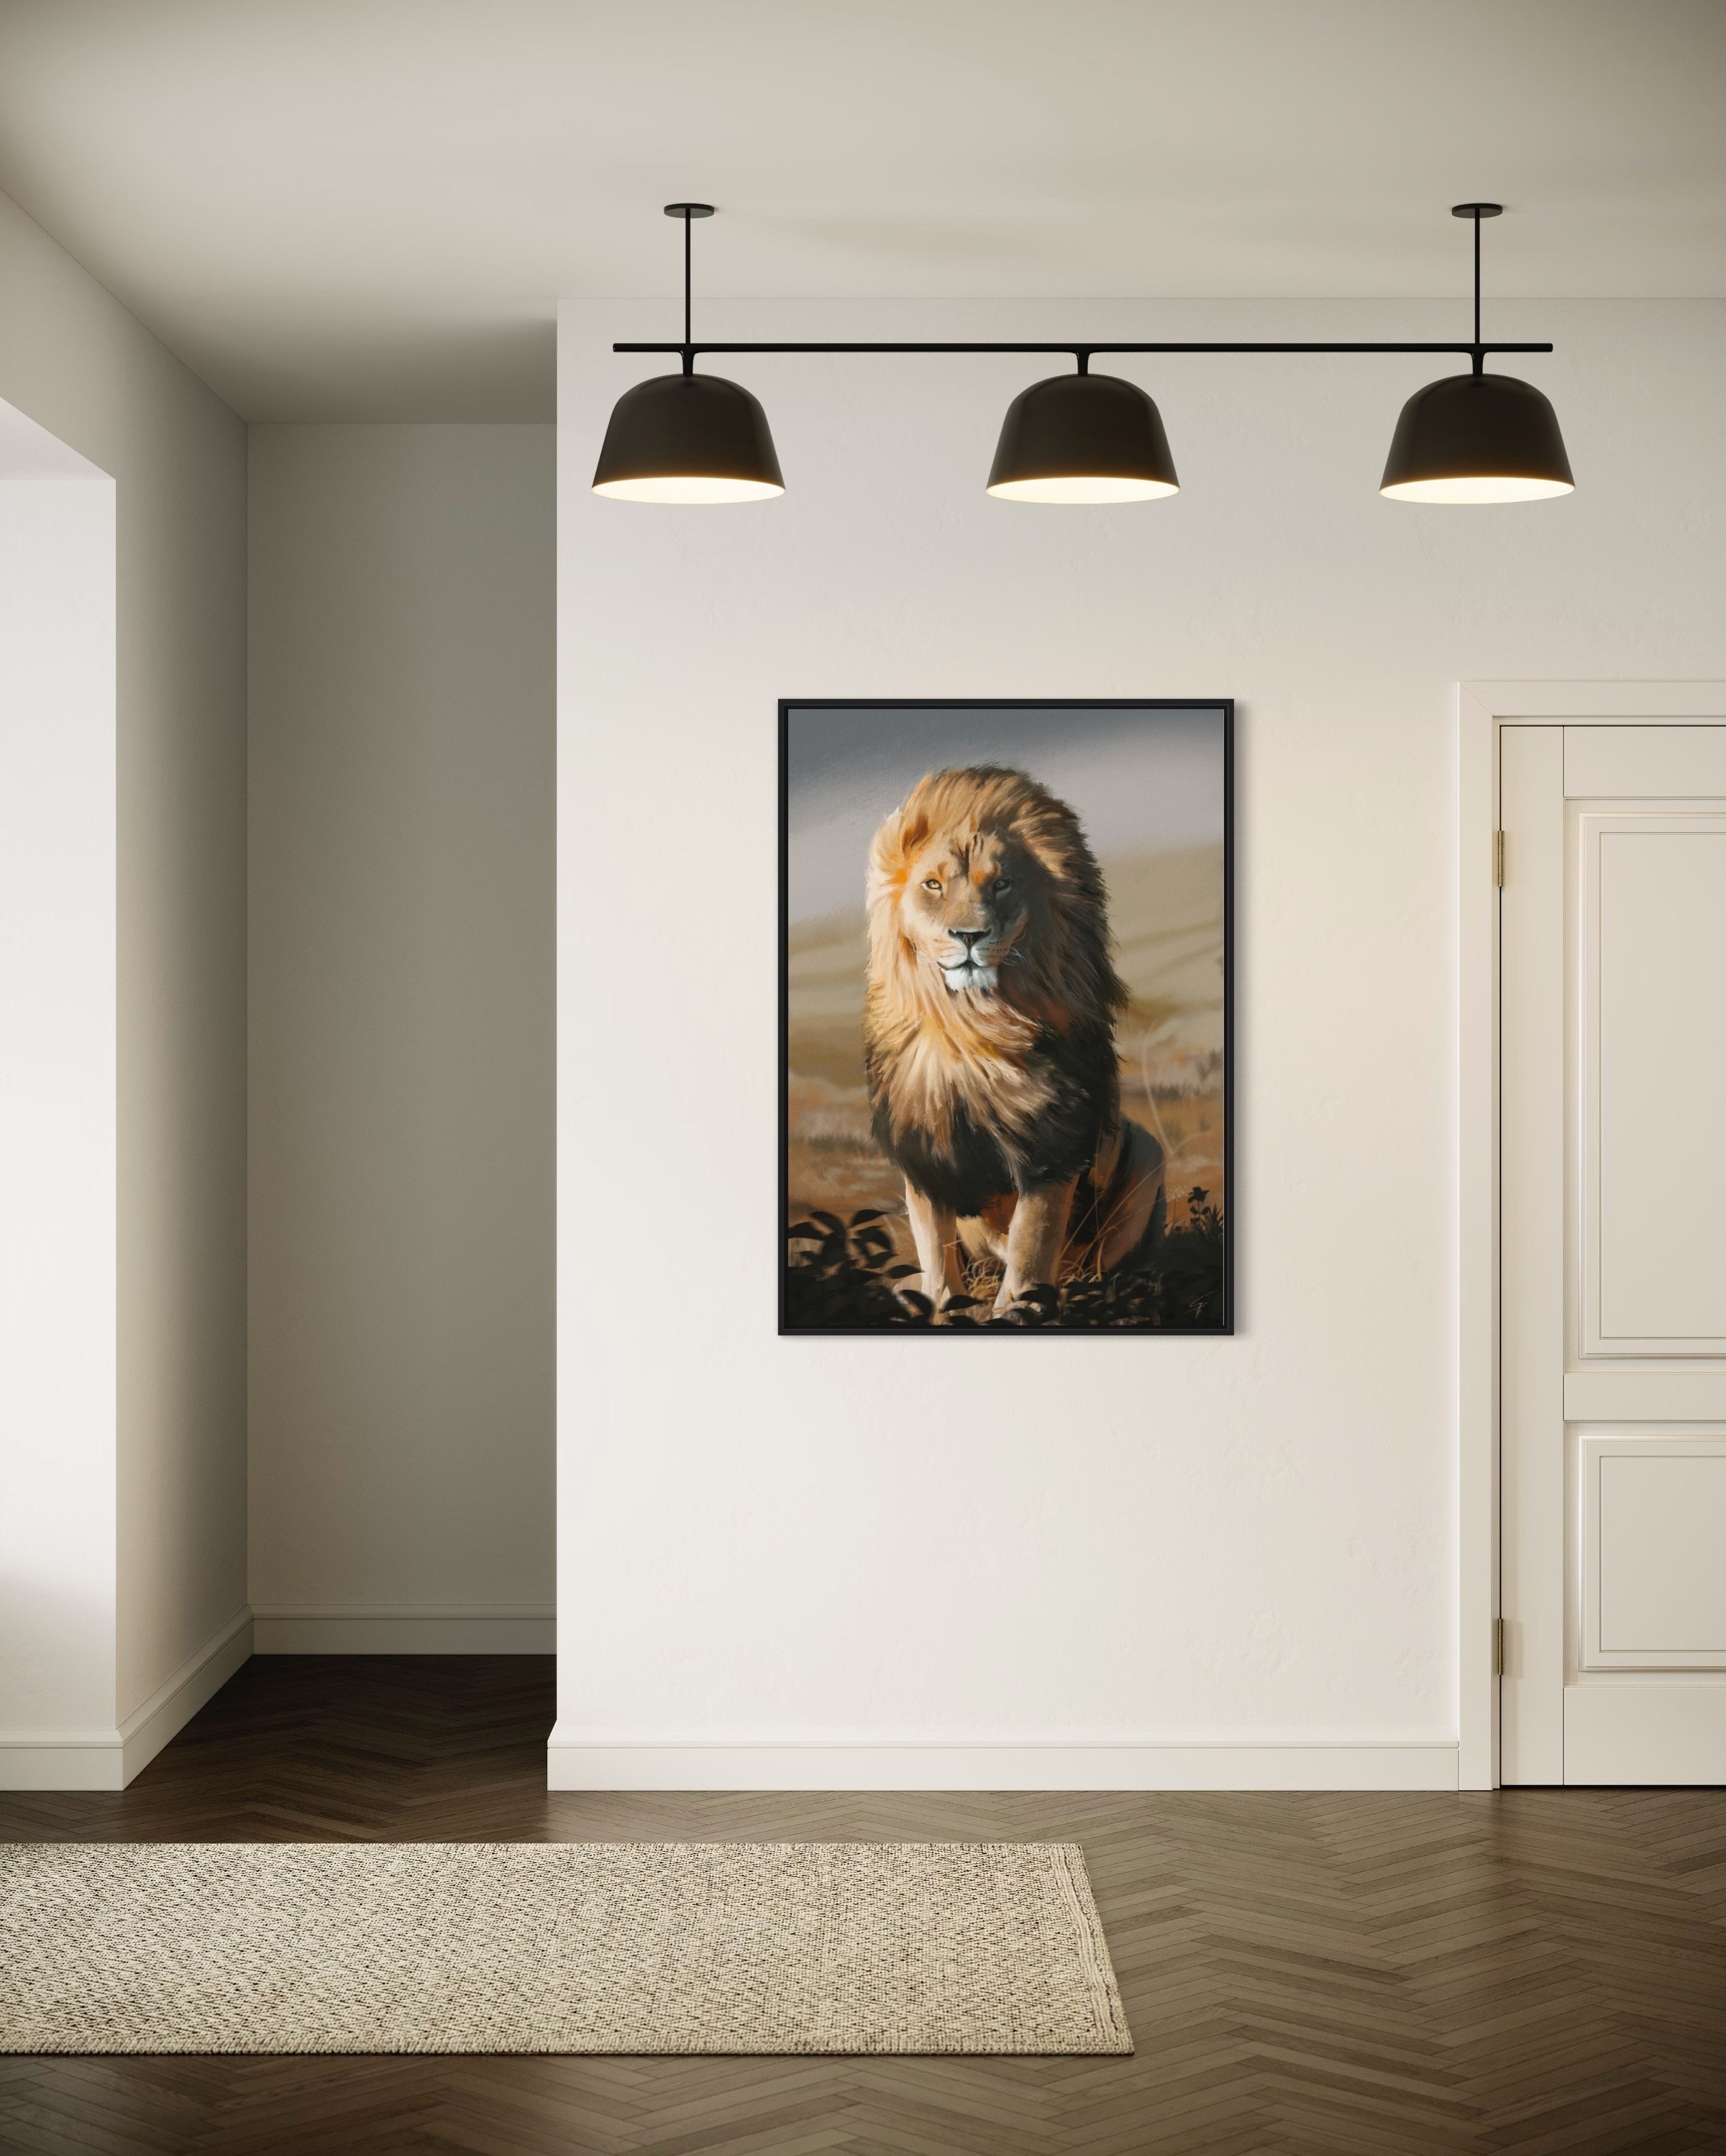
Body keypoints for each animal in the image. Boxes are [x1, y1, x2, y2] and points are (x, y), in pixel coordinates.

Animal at [863, 764, 1164, 1317]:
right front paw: (943, 1307)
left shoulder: (1053, 1152)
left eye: (1002, 885)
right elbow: (936, 1252)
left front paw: (1019, 1311)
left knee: (1101, 1265)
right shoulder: (923, 1156)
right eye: (933, 885)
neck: (973, 1029)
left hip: (1148, 1153)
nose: (969, 936)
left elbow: (1030, 1244)